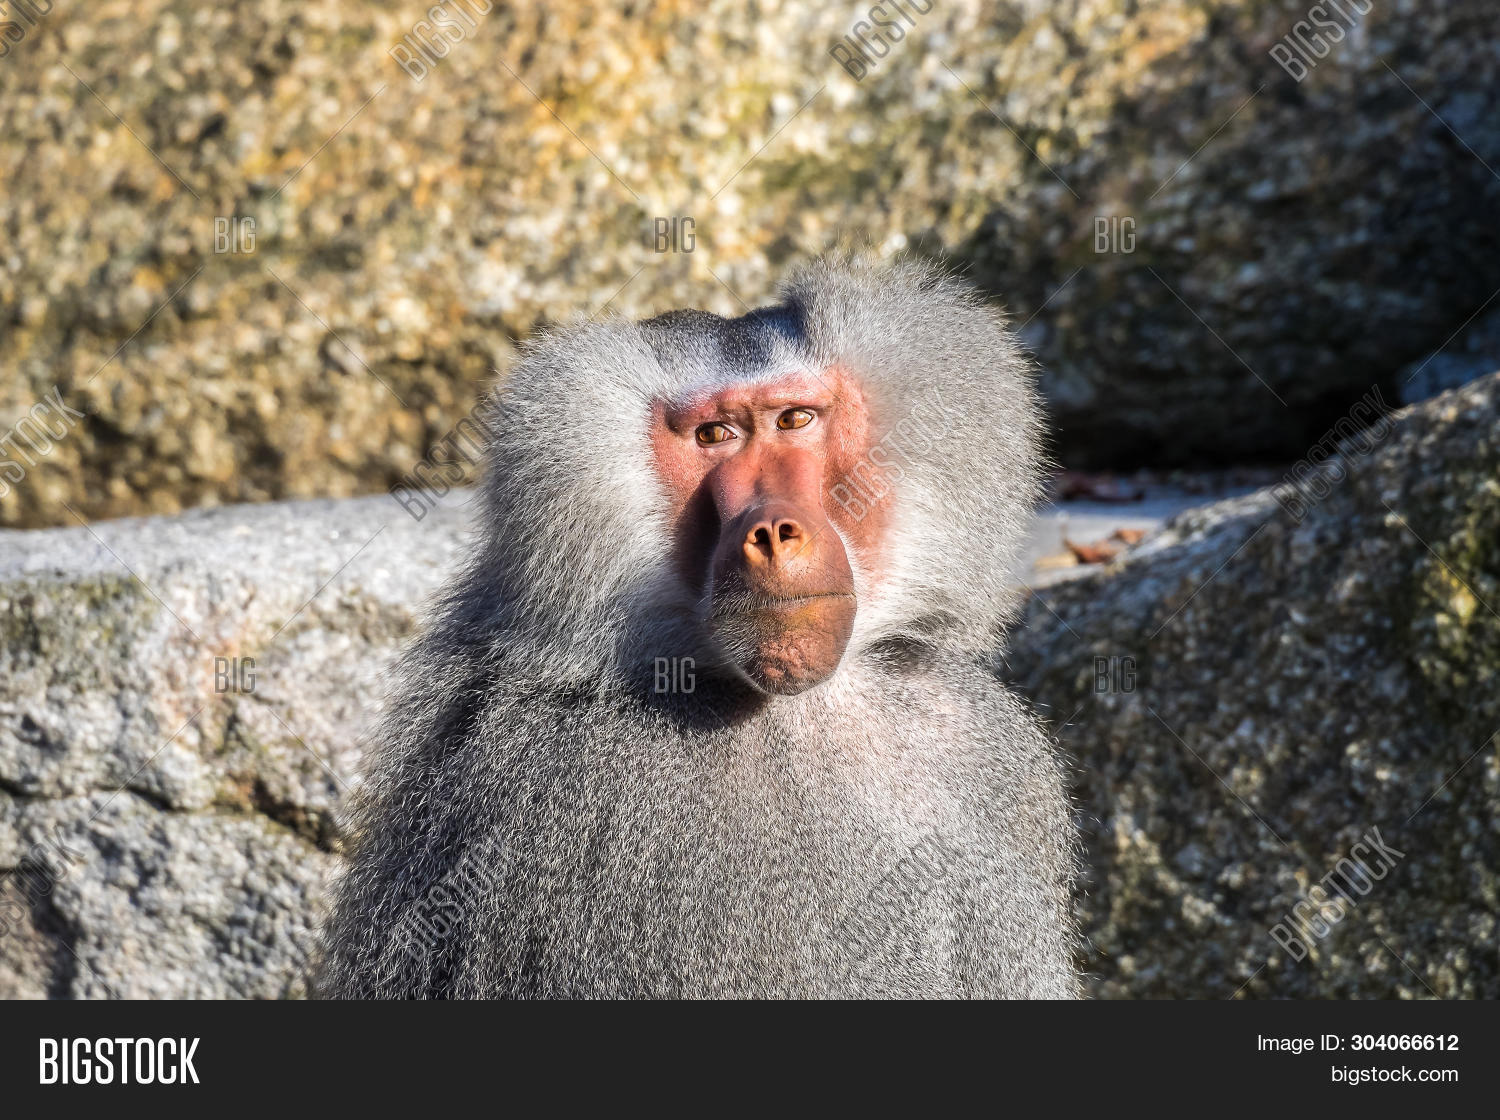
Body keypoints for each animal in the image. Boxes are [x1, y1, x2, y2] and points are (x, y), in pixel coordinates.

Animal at [317, 255, 1079, 999]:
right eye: (716, 435)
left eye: (795, 419)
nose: (773, 531)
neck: (792, 708)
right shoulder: (550, 788)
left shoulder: (968, 743)